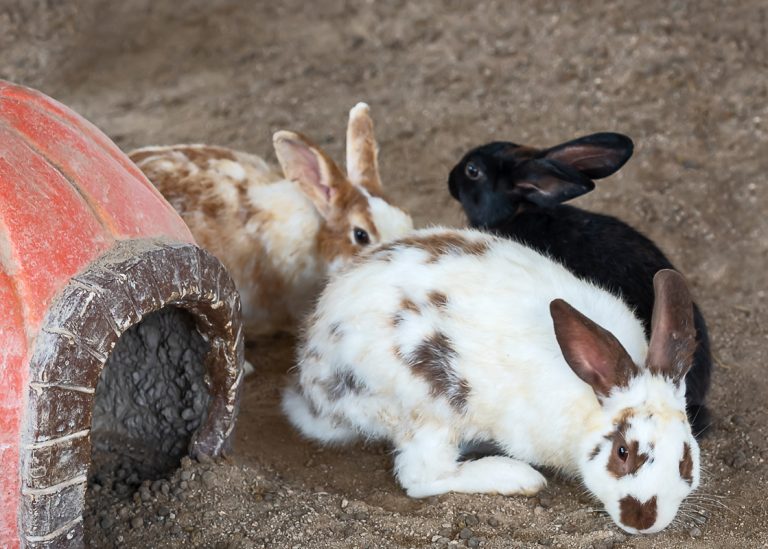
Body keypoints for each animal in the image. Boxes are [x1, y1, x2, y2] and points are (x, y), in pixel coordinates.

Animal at [282, 227, 701, 534]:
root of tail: (314, 376)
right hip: (430, 407)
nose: (643, 520)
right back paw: (516, 477)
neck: (589, 401)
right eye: (623, 452)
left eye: (685, 460)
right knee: (421, 475)